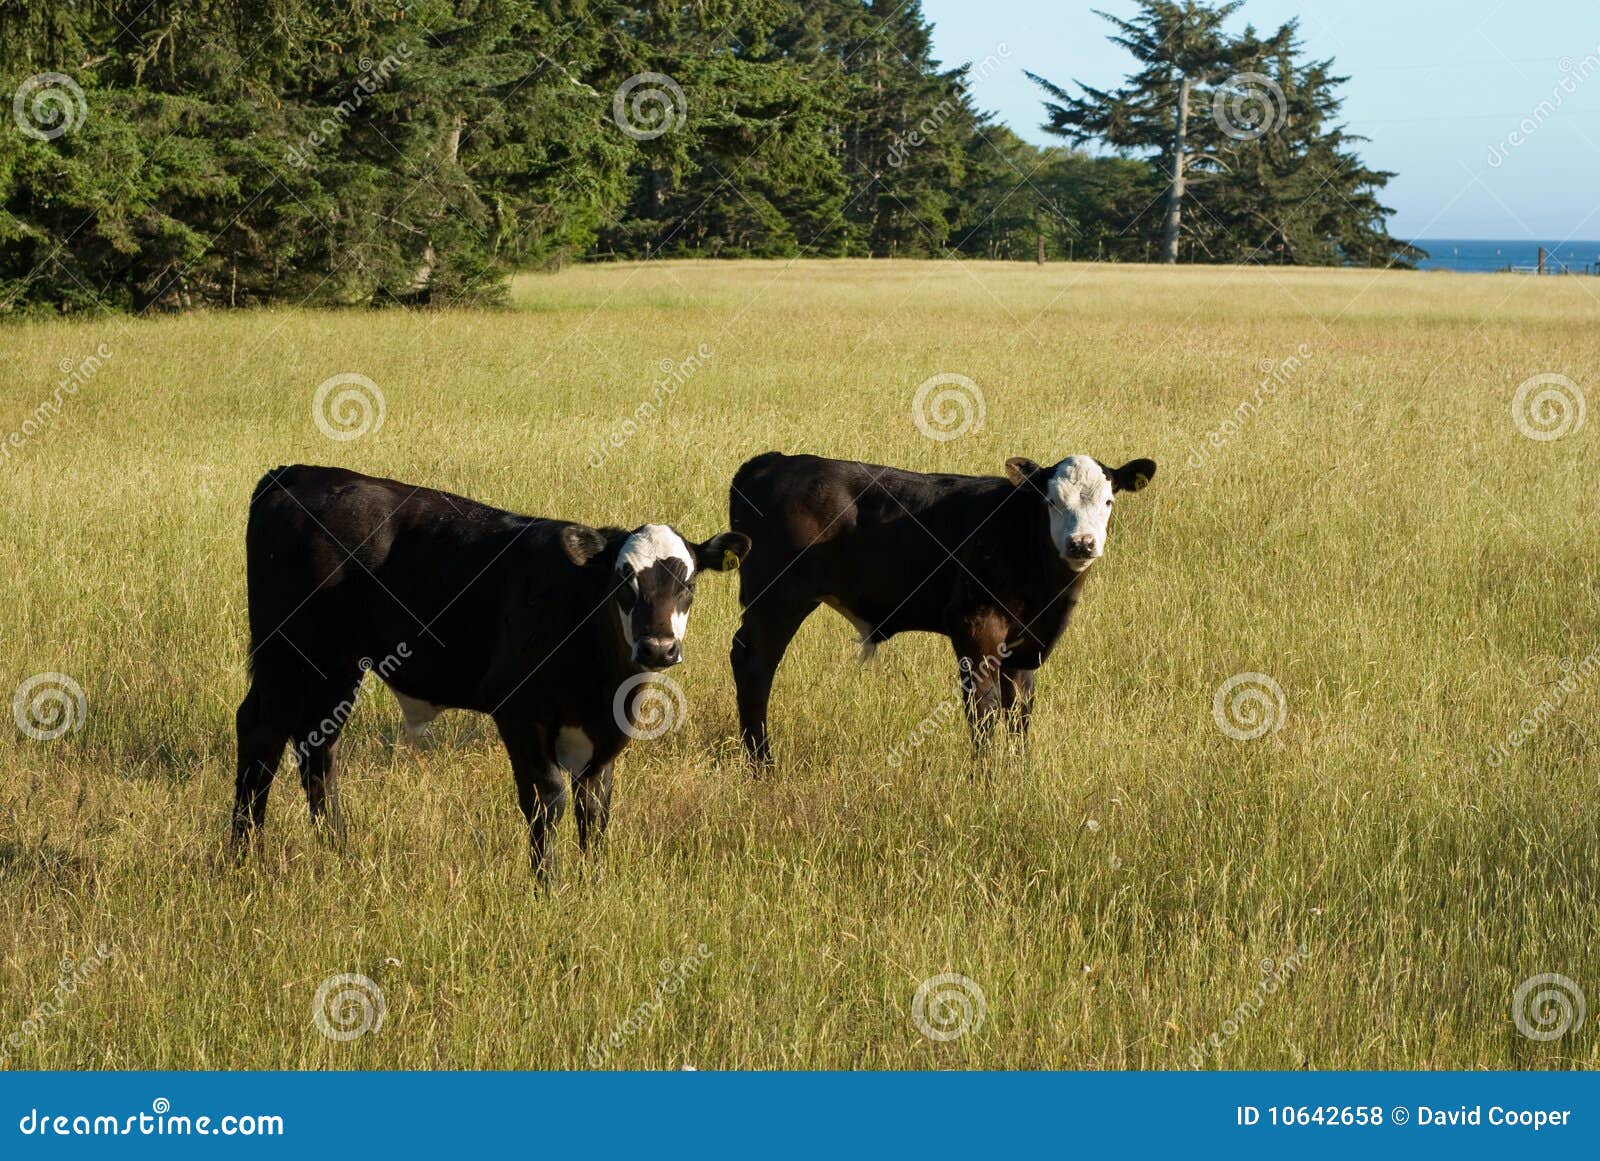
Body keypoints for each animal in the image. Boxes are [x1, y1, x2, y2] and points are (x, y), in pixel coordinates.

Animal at [234, 465, 749, 878]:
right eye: (623, 580)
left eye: (688, 583)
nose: (658, 647)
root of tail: (294, 474)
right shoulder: (520, 713)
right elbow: (547, 800)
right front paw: (547, 886)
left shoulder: (606, 731)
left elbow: (594, 806)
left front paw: (593, 880)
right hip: (285, 657)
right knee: (261, 735)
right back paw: (243, 857)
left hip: (336, 669)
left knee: (318, 749)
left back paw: (339, 852)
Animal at [727, 451, 1155, 764]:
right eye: (1051, 501)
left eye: (1108, 500)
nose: (1081, 543)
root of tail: (773, 461)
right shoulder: (975, 629)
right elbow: (983, 711)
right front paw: (985, 780)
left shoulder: (1023, 646)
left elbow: (1020, 712)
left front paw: (1019, 773)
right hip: (778, 599)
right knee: (755, 666)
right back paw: (762, 763)